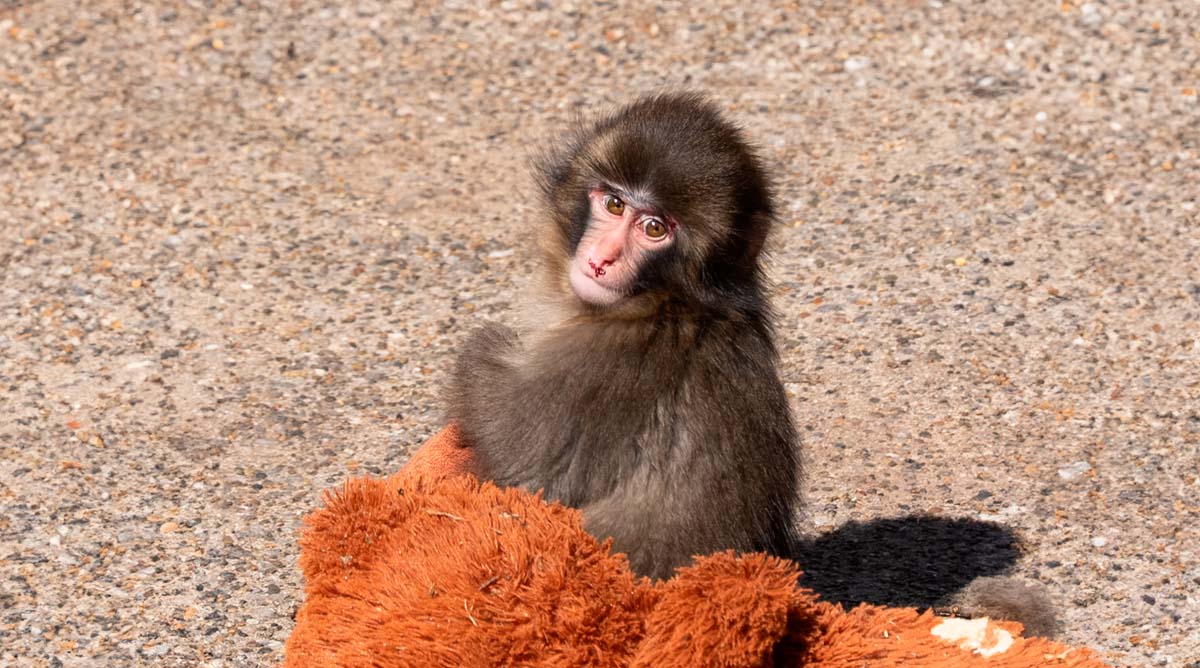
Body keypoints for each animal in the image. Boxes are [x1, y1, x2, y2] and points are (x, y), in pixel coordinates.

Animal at [448, 92, 801, 581]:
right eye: (614, 204)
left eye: (654, 228)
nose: (601, 260)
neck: (668, 304)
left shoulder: (598, 366)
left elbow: (519, 468)